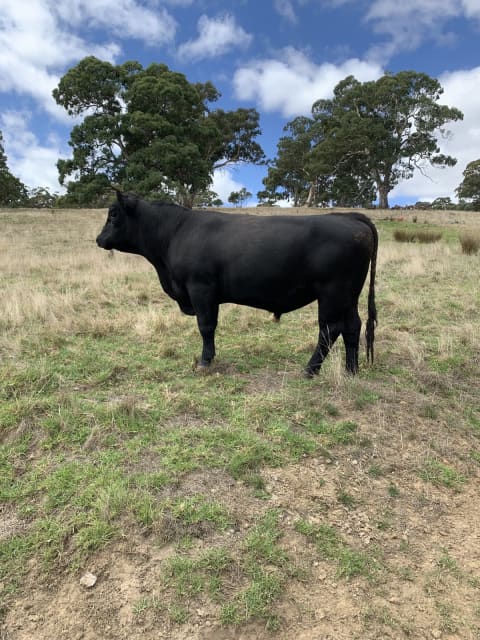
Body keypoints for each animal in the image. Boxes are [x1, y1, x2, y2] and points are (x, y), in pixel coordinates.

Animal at [96, 190, 378, 377]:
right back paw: (351, 370)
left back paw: (310, 370)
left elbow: (206, 326)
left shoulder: (200, 288)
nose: (99, 239)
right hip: (349, 295)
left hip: (332, 292)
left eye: (114, 215)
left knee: (330, 329)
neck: (175, 232)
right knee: (352, 327)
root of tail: (350, 217)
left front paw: (205, 361)